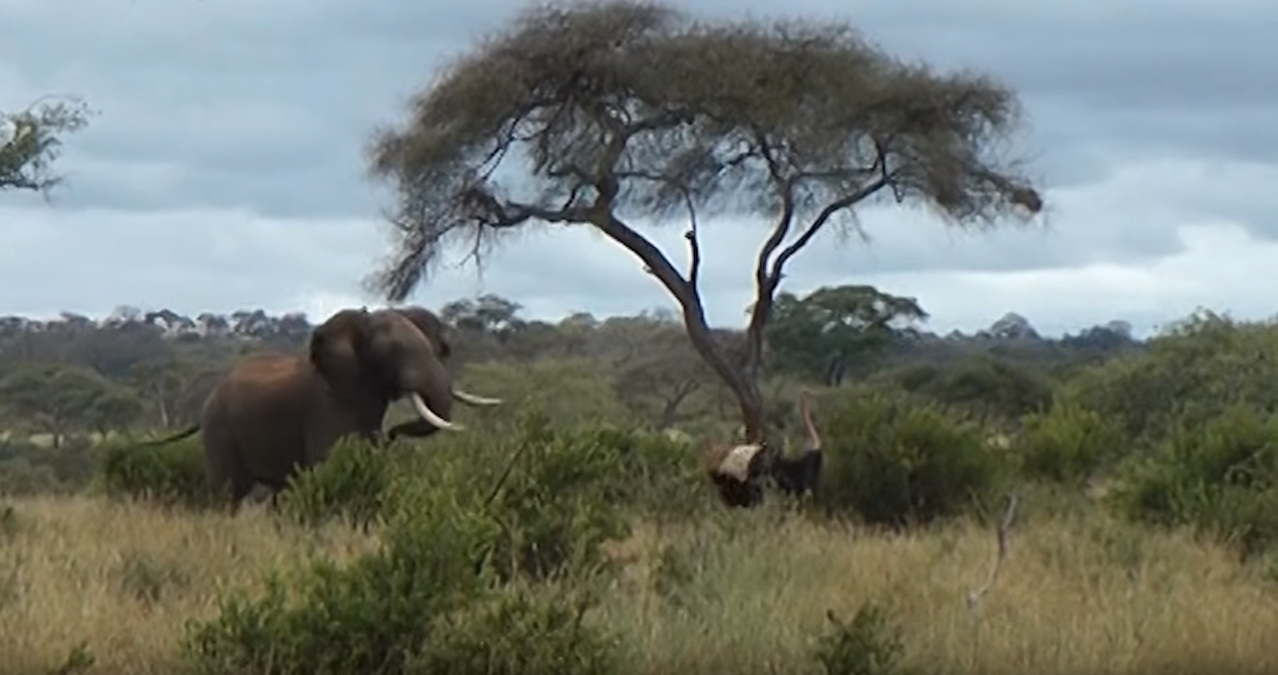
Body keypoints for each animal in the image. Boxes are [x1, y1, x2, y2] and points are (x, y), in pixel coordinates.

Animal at [142, 305, 503, 507]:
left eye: (435, 349)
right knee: (228, 492)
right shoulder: (327, 407)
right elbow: (328, 465)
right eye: (392, 353)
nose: (392, 435)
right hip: (219, 429)